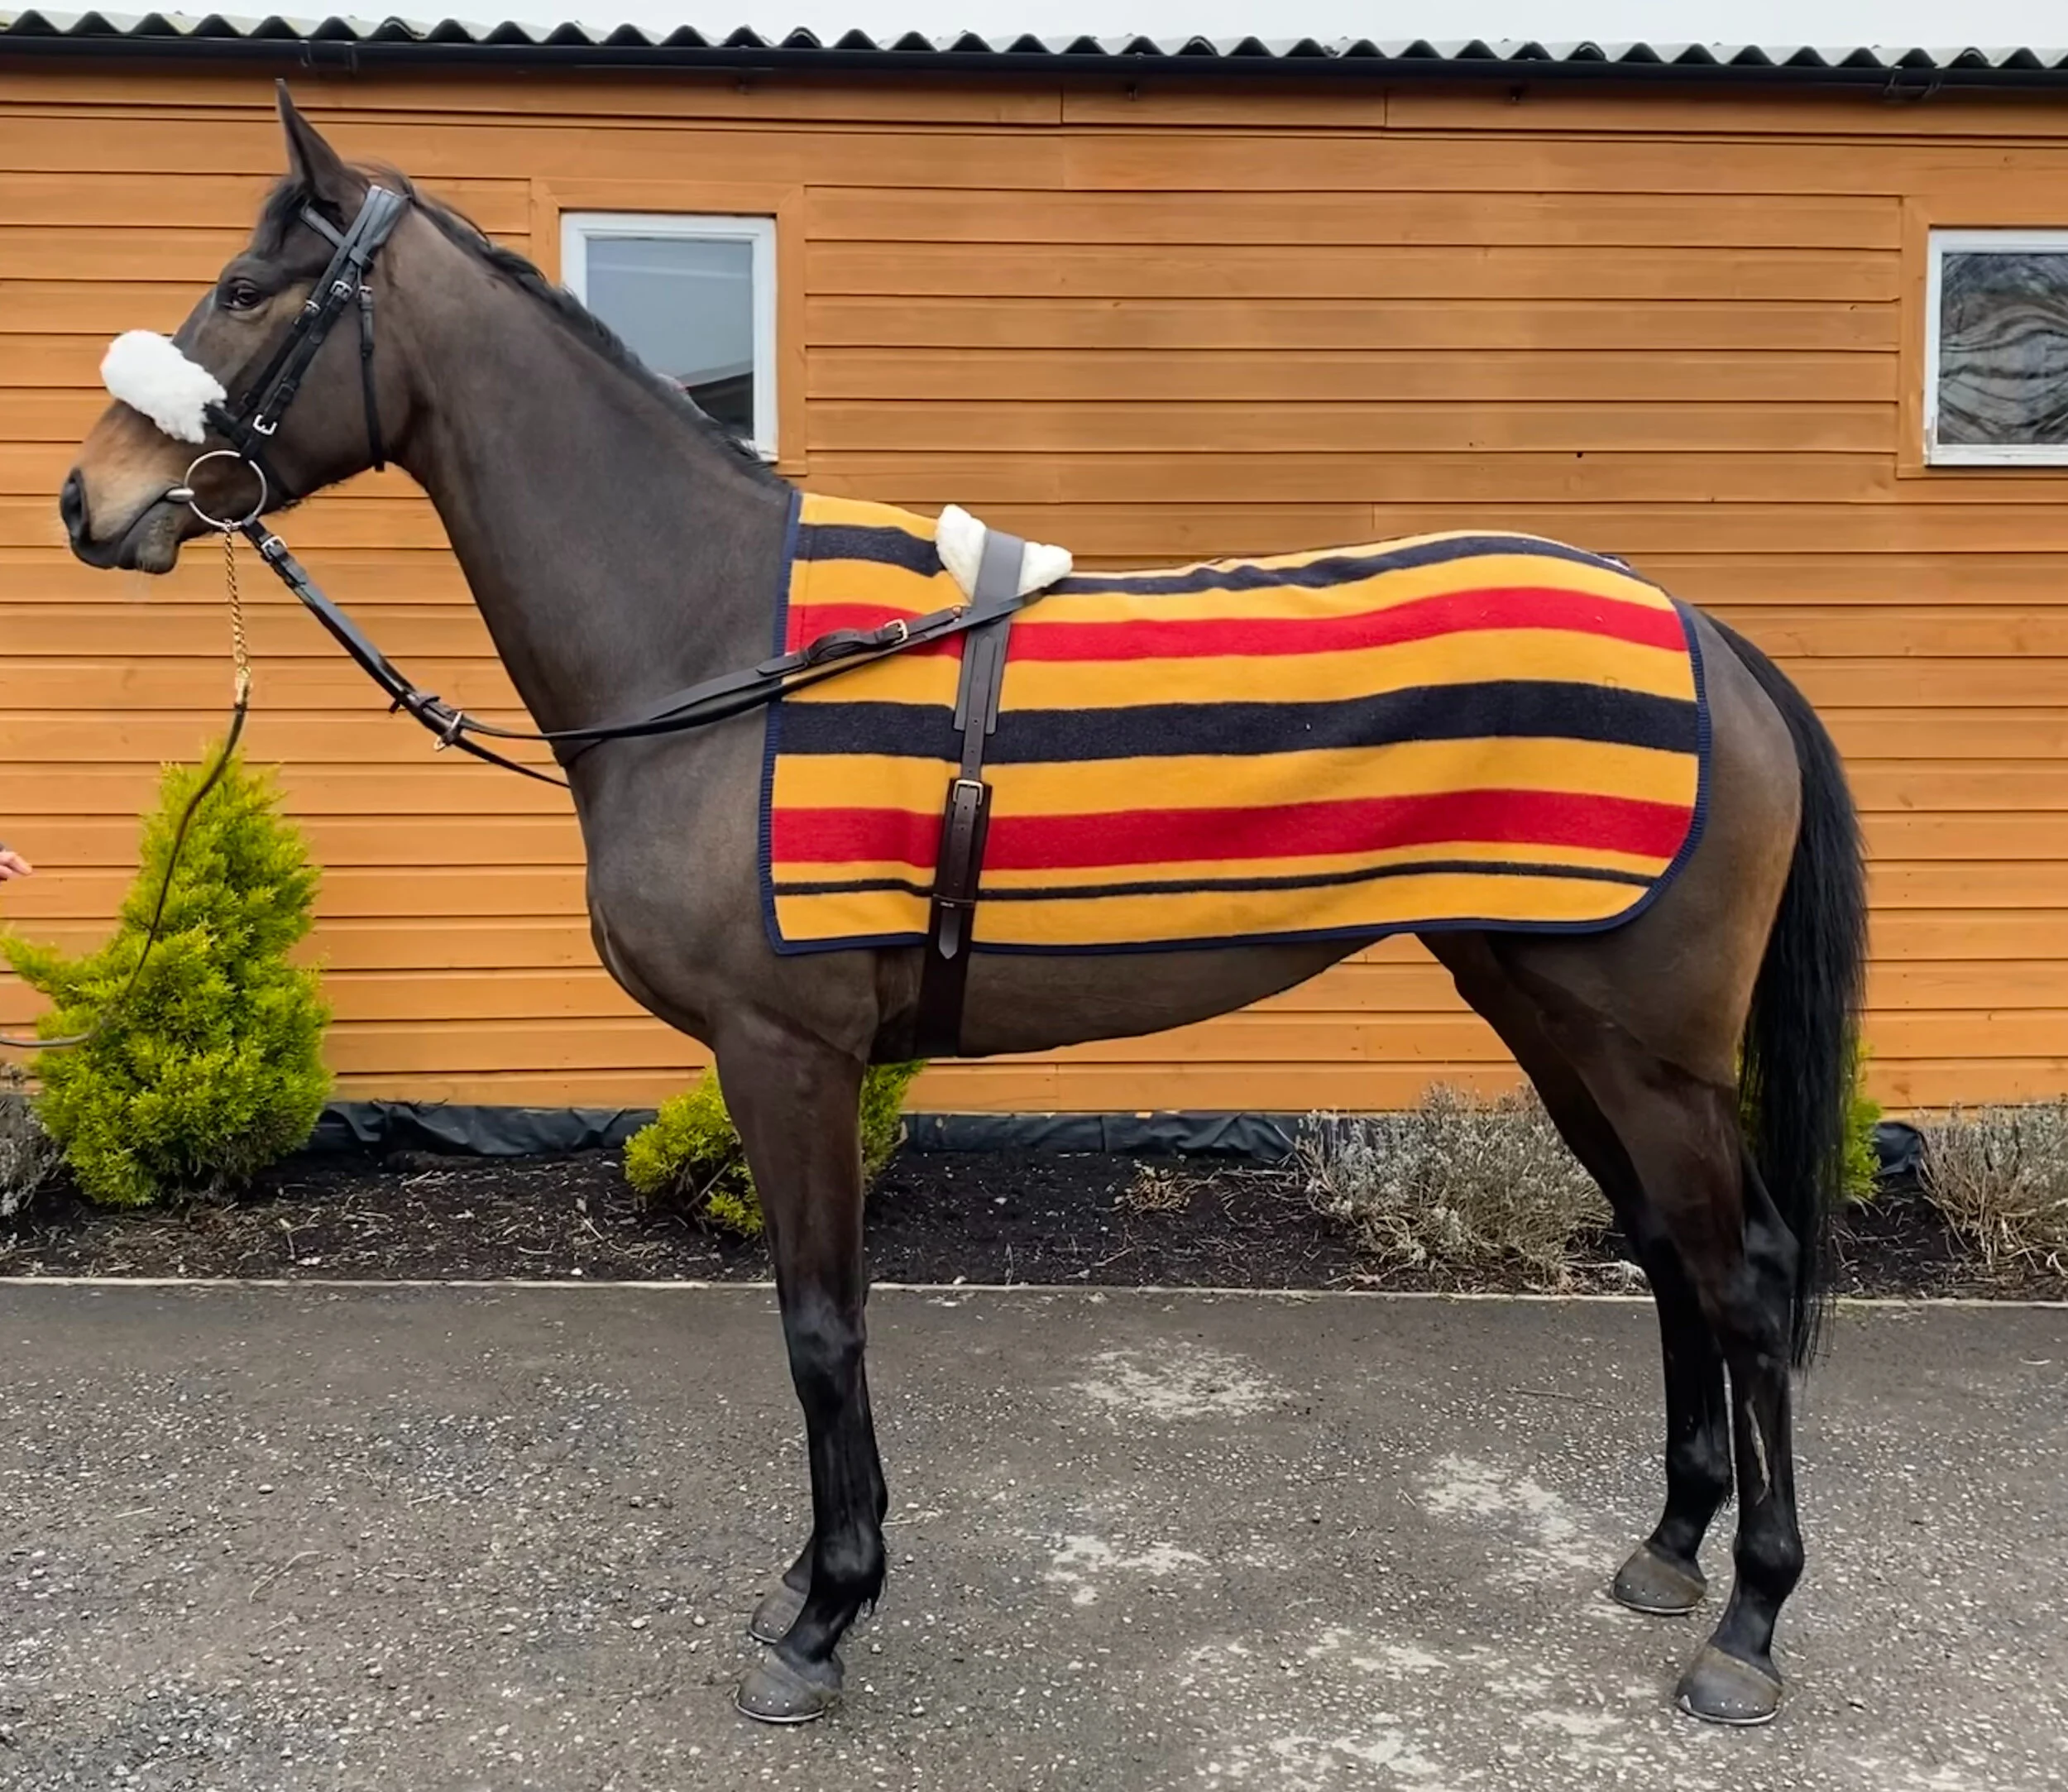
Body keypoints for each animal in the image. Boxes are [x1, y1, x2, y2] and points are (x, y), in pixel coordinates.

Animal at [60, 89, 1866, 1730]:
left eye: (246, 287)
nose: (91, 500)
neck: (715, 638)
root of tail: (1705, 634)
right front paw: (809, 1584)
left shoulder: (783, 1054)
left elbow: (817, 1327)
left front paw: (820, 1620)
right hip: (1548, 1004)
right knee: (1670, 1256)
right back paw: (1668, 1550)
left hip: (1641, 1045)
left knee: (1746, 1274)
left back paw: (1746, 1627)